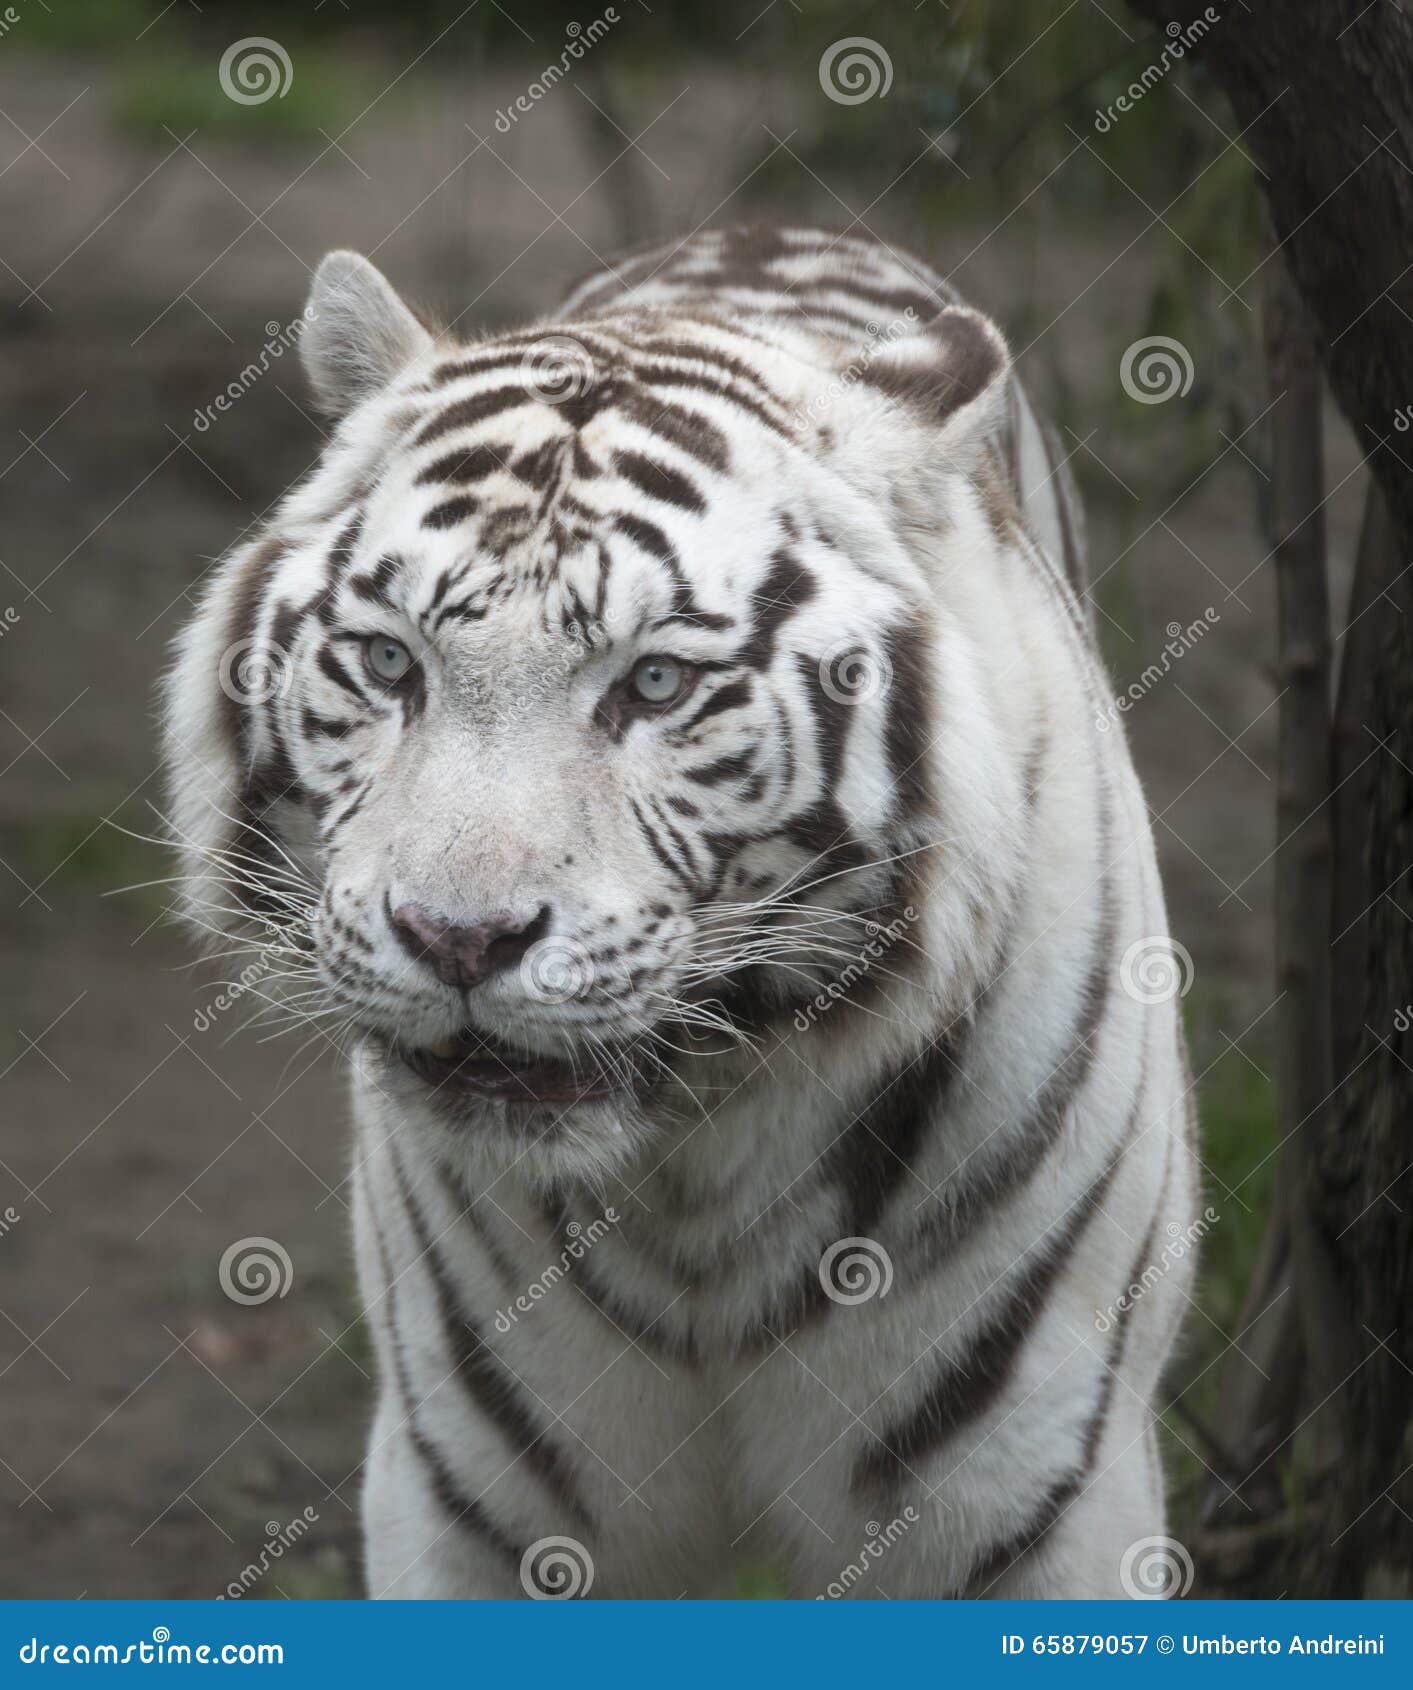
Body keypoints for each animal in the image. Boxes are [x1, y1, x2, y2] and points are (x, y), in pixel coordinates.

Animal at [163, 221, 1198, 1600]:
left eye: (654, 685)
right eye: (389, 663)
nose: (457, 940)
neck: (696, 1170)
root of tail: (778, 228)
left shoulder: (1039, 1493)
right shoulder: (463, 1495)